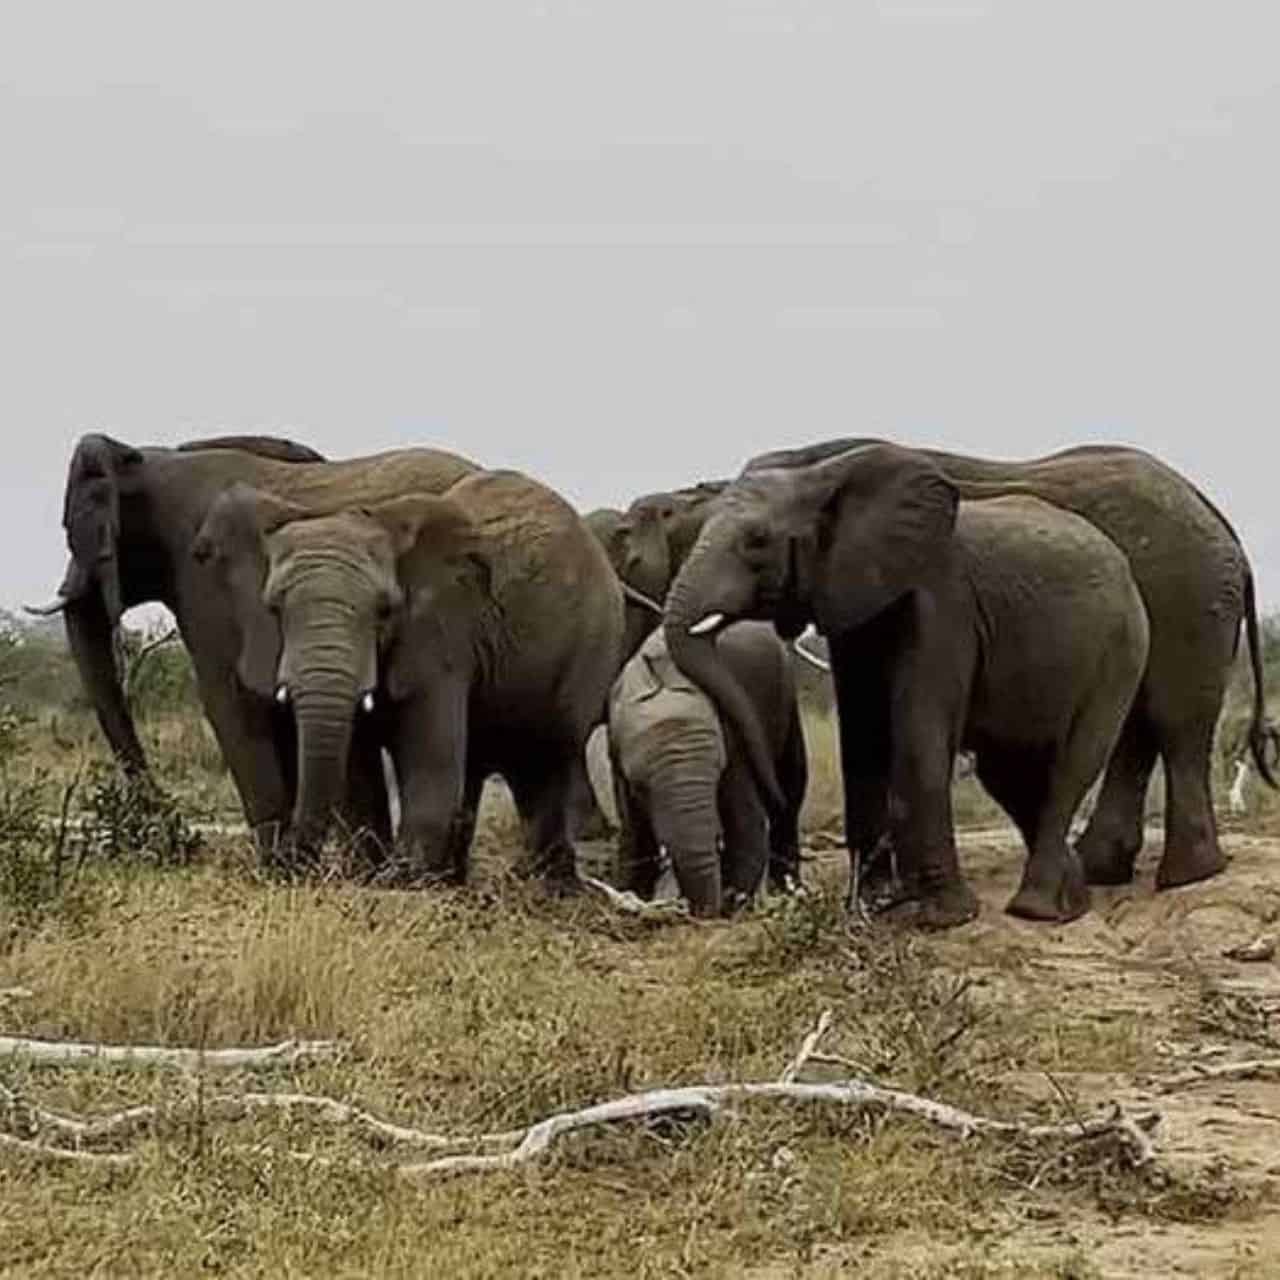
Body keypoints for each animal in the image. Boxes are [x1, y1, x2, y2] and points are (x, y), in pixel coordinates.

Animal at [34, 433, 480, 856]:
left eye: (71, 533)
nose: (167, 832)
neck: (149, 461)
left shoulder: (205, 585)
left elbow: (230, 703)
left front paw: (278, 866)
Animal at [193, 468, 625, 886]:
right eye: (275, 609)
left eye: (384, 610)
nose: (291, 866)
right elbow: (357, 770)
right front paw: (369, 876)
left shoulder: (443, 635)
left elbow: (428, 761)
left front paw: (401, 882)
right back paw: (455, 881)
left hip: (590, 647)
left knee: (545, 756)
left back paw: (548, 887)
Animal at [608, 621, 807, 916]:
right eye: (641, 787)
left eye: (717, 773)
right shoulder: (615, 753)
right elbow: (634, 832)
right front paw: (630, 893)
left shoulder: (731, 737)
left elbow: (746, 825)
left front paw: (733, 905)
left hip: (787, 697)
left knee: (790, 794)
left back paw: (789, 890)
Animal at [663, 443, 1155, 927]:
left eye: (757, 540)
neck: (824, 477)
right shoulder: (855, 603)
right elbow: (862, 734)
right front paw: (872, 907)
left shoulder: (943, 600)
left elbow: (919, 733)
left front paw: (945, 918)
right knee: (1007, 774)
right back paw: (1074, 900)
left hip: (1121, 649)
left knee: (1073, 765)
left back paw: (1036, 909)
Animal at [733, 437, 1278, 894]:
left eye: (757, 546)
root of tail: (1218, 518)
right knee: (1137, 726)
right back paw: (1100, 870)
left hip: (1189, 597)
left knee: (1171, 722)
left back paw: (1181, 877)